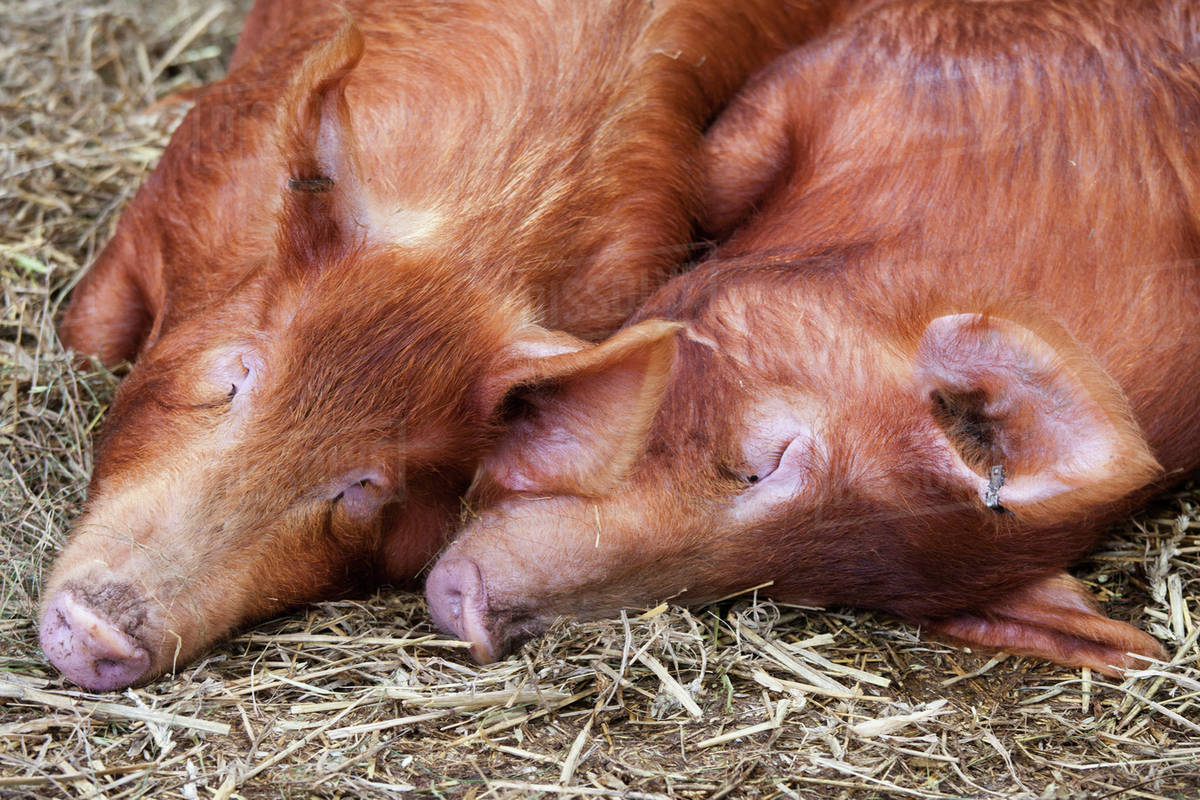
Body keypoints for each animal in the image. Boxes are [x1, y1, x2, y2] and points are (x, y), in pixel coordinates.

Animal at [42, 0, 872, 690]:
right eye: (238, 372)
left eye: (365, 485)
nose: (96, 632)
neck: (480, 232)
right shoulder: (173, 197)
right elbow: (88, 335)